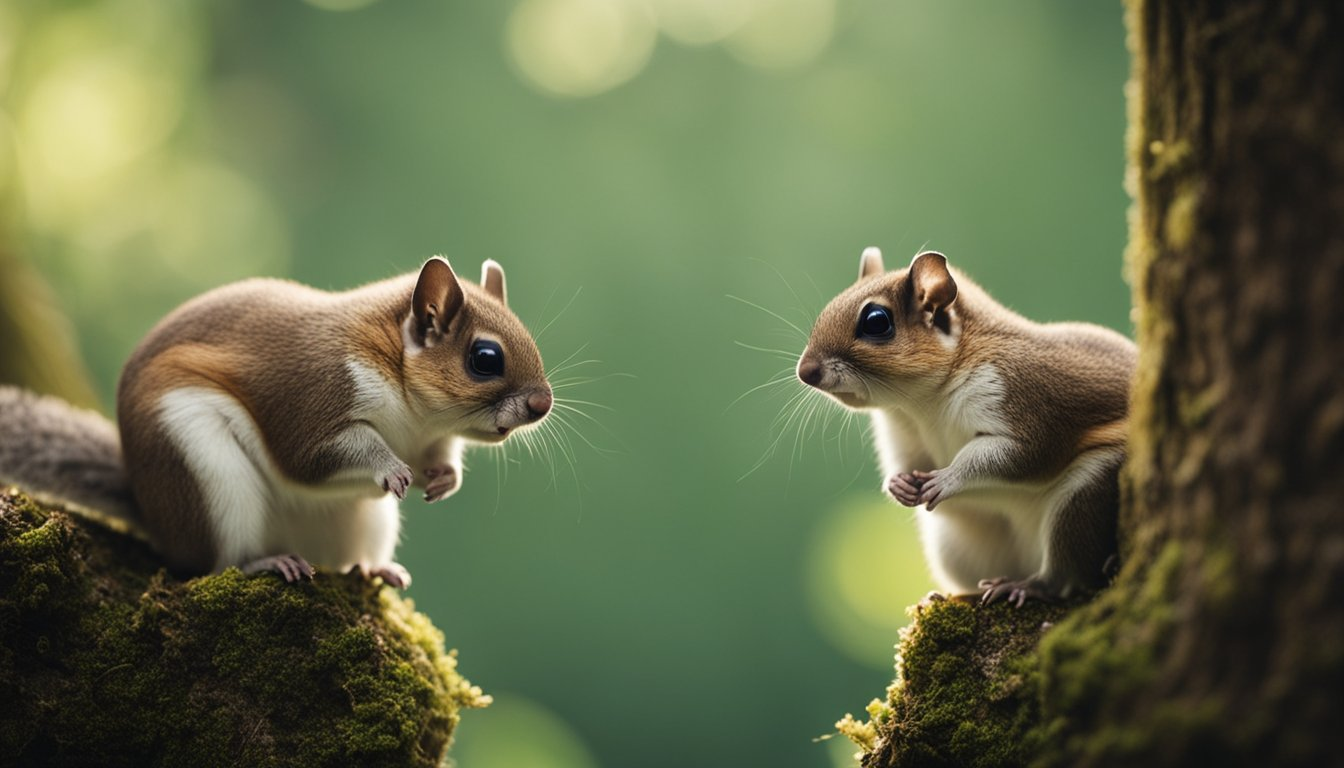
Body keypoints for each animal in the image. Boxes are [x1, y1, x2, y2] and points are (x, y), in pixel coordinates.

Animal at [0, 257, 552, 589]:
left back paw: (375, 569)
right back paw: (264, 562)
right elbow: (320, 455)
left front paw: (445, 479)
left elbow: (438, 458)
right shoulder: (311, 401)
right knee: (213, 564)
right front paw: (390, 467)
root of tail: (150, 507)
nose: (543, 405)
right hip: (207, 475)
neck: (414, 414)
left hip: (365, 522)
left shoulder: (429, 439)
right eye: (485, 358)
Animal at [797, 247, 1135, 606]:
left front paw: (948, 479)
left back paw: (1029, 586)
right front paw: (897, 484)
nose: (805, 372)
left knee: (1067, 577)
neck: (921, 405)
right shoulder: (902, 431)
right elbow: (908, 463)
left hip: (1086, 494)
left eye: (876, 321)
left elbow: (1020, 455)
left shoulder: (1027, 400)